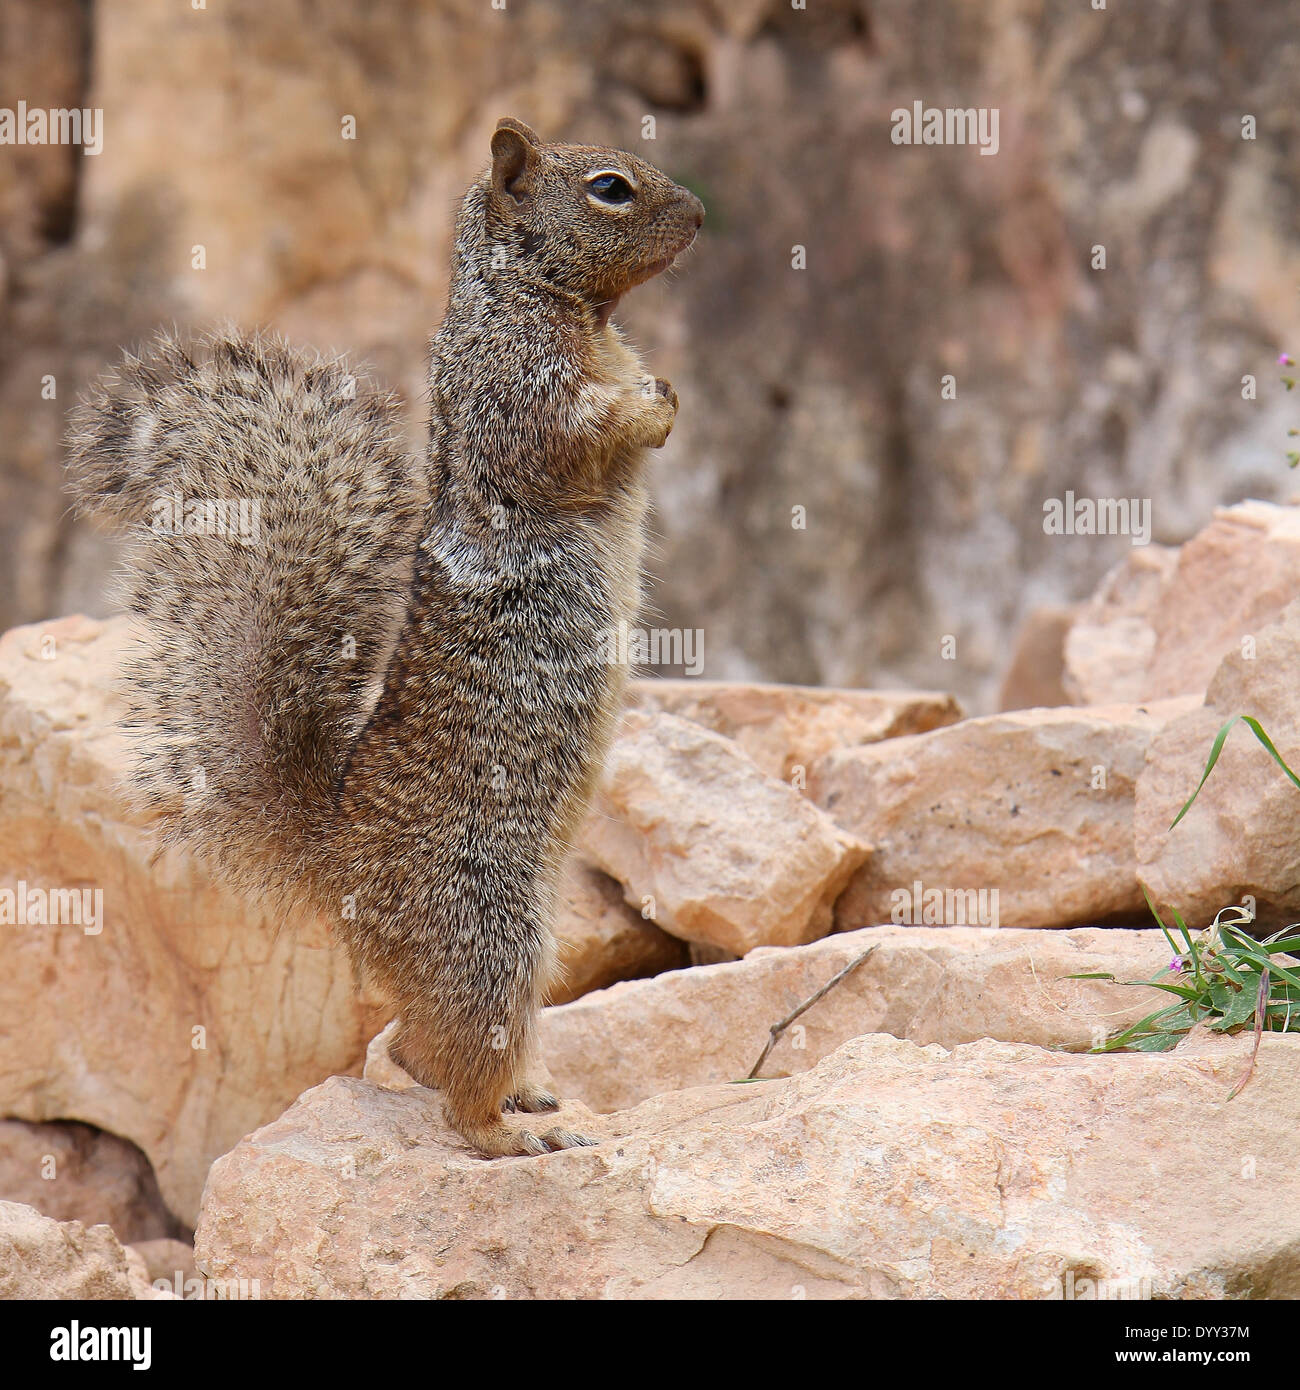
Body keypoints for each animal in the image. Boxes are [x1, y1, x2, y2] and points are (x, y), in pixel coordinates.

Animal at [65, 117, 704, 1158]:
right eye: (610, 187)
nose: (699, 214)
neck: (540, 300)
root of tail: (339, 861)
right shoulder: (517, 398)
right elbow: (576, 439)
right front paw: (655, 402)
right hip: (490, 935)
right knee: (449, 1072)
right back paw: (508, 1135)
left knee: (414, 1047)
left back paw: (532, 1096)